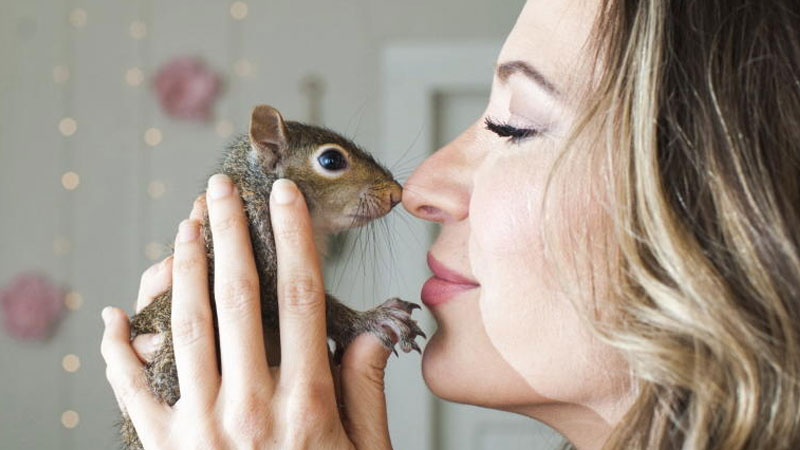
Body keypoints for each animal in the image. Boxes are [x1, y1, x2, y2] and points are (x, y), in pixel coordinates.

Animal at [118, 105, 426, 450]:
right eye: (331, 160)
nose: (397, 194)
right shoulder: (261, 248)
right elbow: (314, 309)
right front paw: (374, 318)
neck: (258, 190)